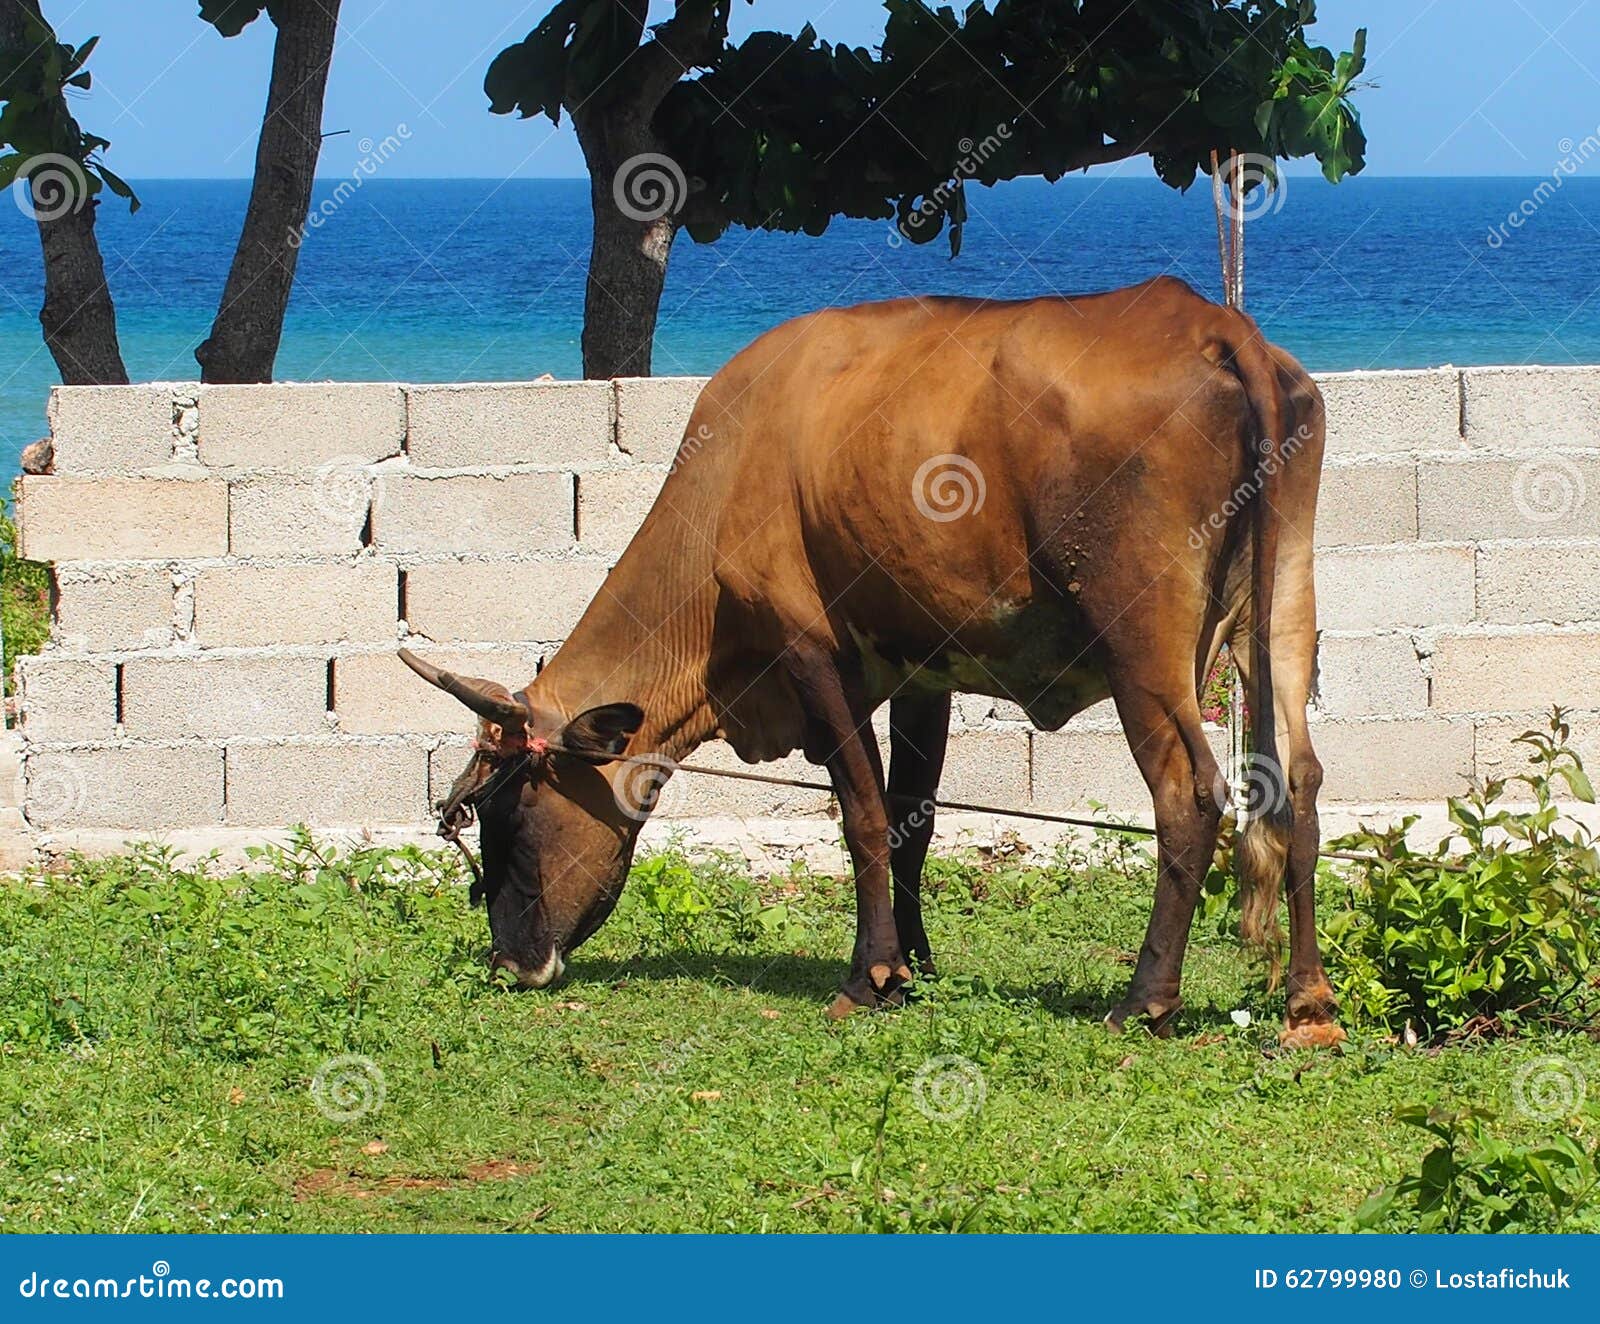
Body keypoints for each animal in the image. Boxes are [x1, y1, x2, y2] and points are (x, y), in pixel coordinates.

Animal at [401, 276, 1343, 1048]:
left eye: (512, 811)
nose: (511, 963)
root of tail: (1214, 323)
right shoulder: (925, 667)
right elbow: (910, 818)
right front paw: (918, 968)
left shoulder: (810, 650)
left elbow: (858, 814)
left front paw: (871, 977)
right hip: (1285, 604)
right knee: (1299, 779)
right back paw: (1308, 1004)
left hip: (1139, 634)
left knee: (1190, 794)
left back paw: (1146, 1000)